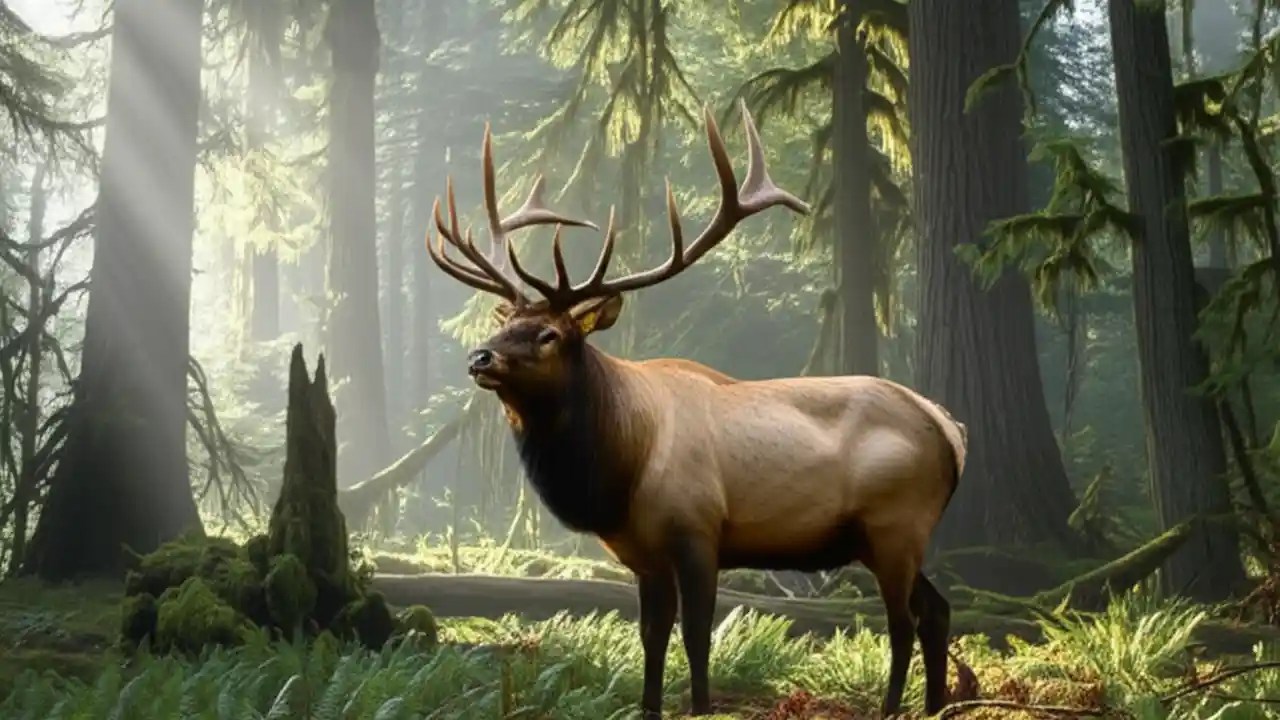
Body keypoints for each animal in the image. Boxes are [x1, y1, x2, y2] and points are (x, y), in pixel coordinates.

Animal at [421, 101, 966, 719]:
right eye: (505, 323)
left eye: (548, 334)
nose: (479, 356)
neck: (620, 467)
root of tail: (950, 430)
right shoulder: (643, 552)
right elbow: (651, 636)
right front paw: (649, 706)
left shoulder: (699, 530)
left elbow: (698, 634)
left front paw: (700, 704)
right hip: (882, 538)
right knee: (937, 610)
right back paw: (936, 706)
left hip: (896, 522)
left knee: (902, 623)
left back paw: (894, 706)